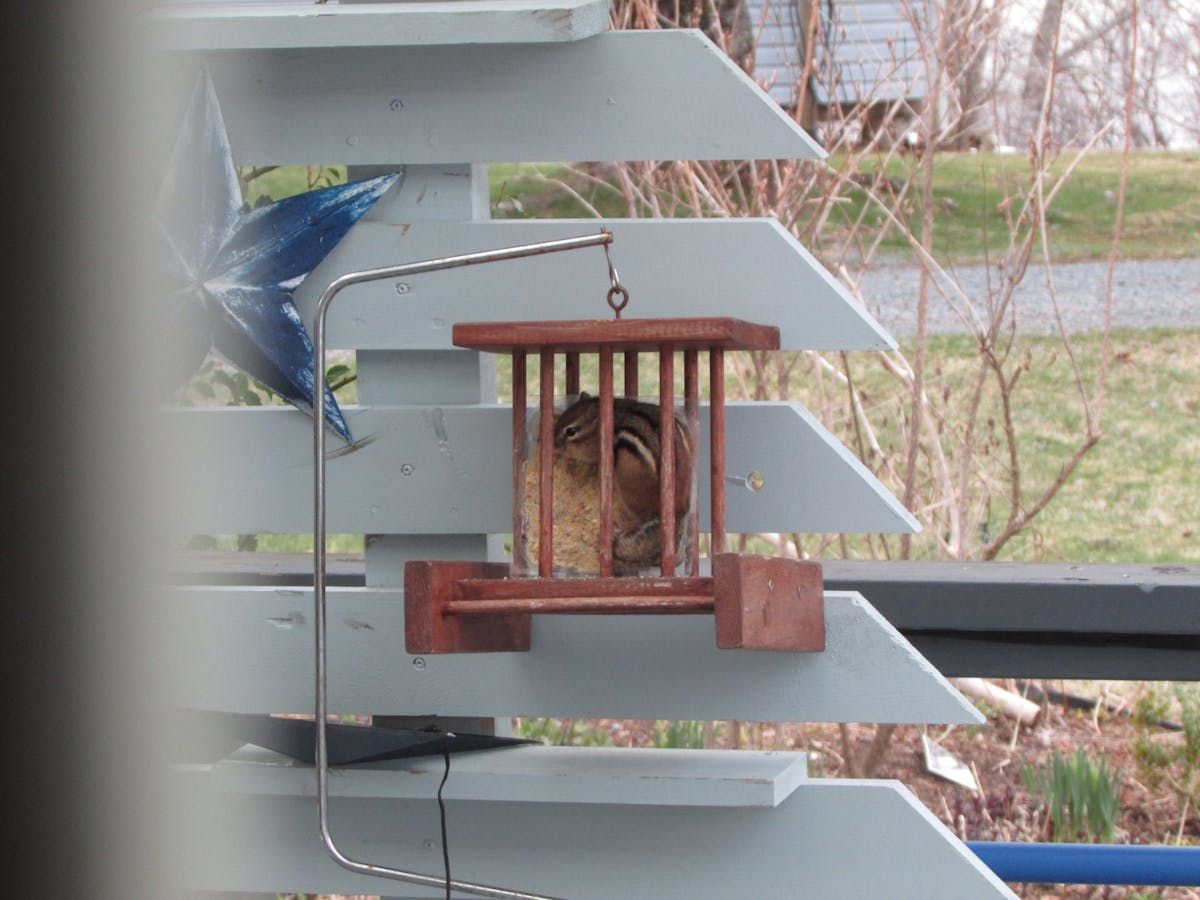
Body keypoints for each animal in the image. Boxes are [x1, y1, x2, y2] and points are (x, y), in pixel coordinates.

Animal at [553, 392, 694, 571]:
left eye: (571, 431)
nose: (553, 445)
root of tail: (679, 508)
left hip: (630, 487)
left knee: (642, 517)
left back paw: (626, 526)